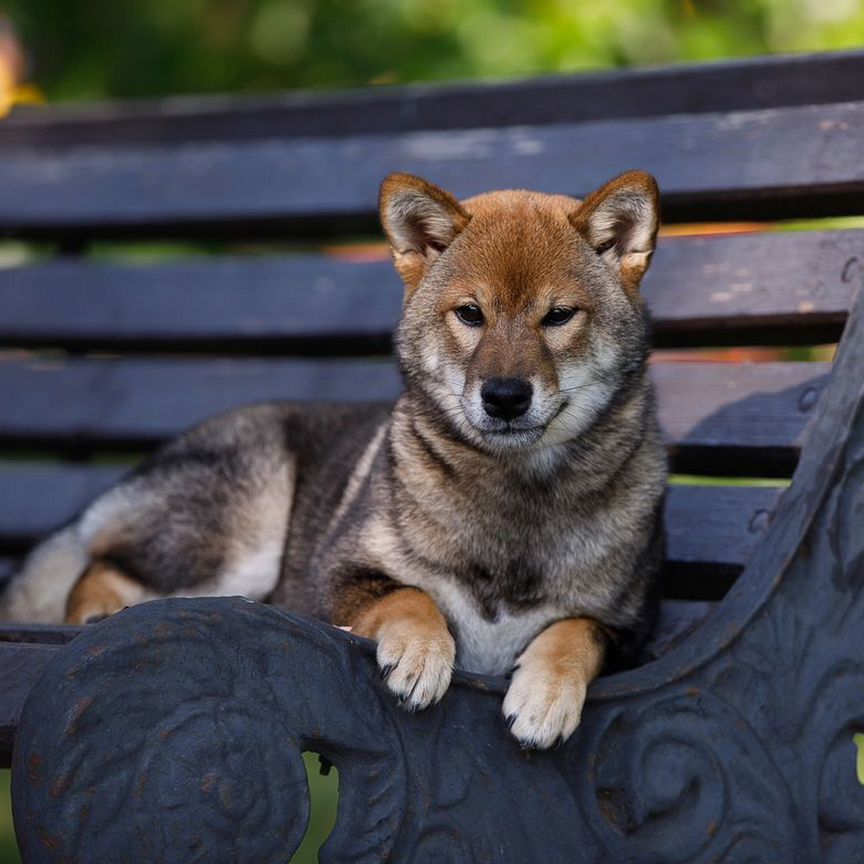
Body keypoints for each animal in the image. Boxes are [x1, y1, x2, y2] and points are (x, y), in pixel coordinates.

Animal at [0, 170, 668, 748]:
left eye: (558, 316)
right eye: (470, 314)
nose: (504, 396)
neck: (515, 503)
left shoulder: (631, 629)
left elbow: (575, 631)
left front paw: (546, 693)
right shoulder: (336, 572)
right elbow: (410, 597)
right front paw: (421, 652)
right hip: (247, 528)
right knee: (97, 568)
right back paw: (101, 615)